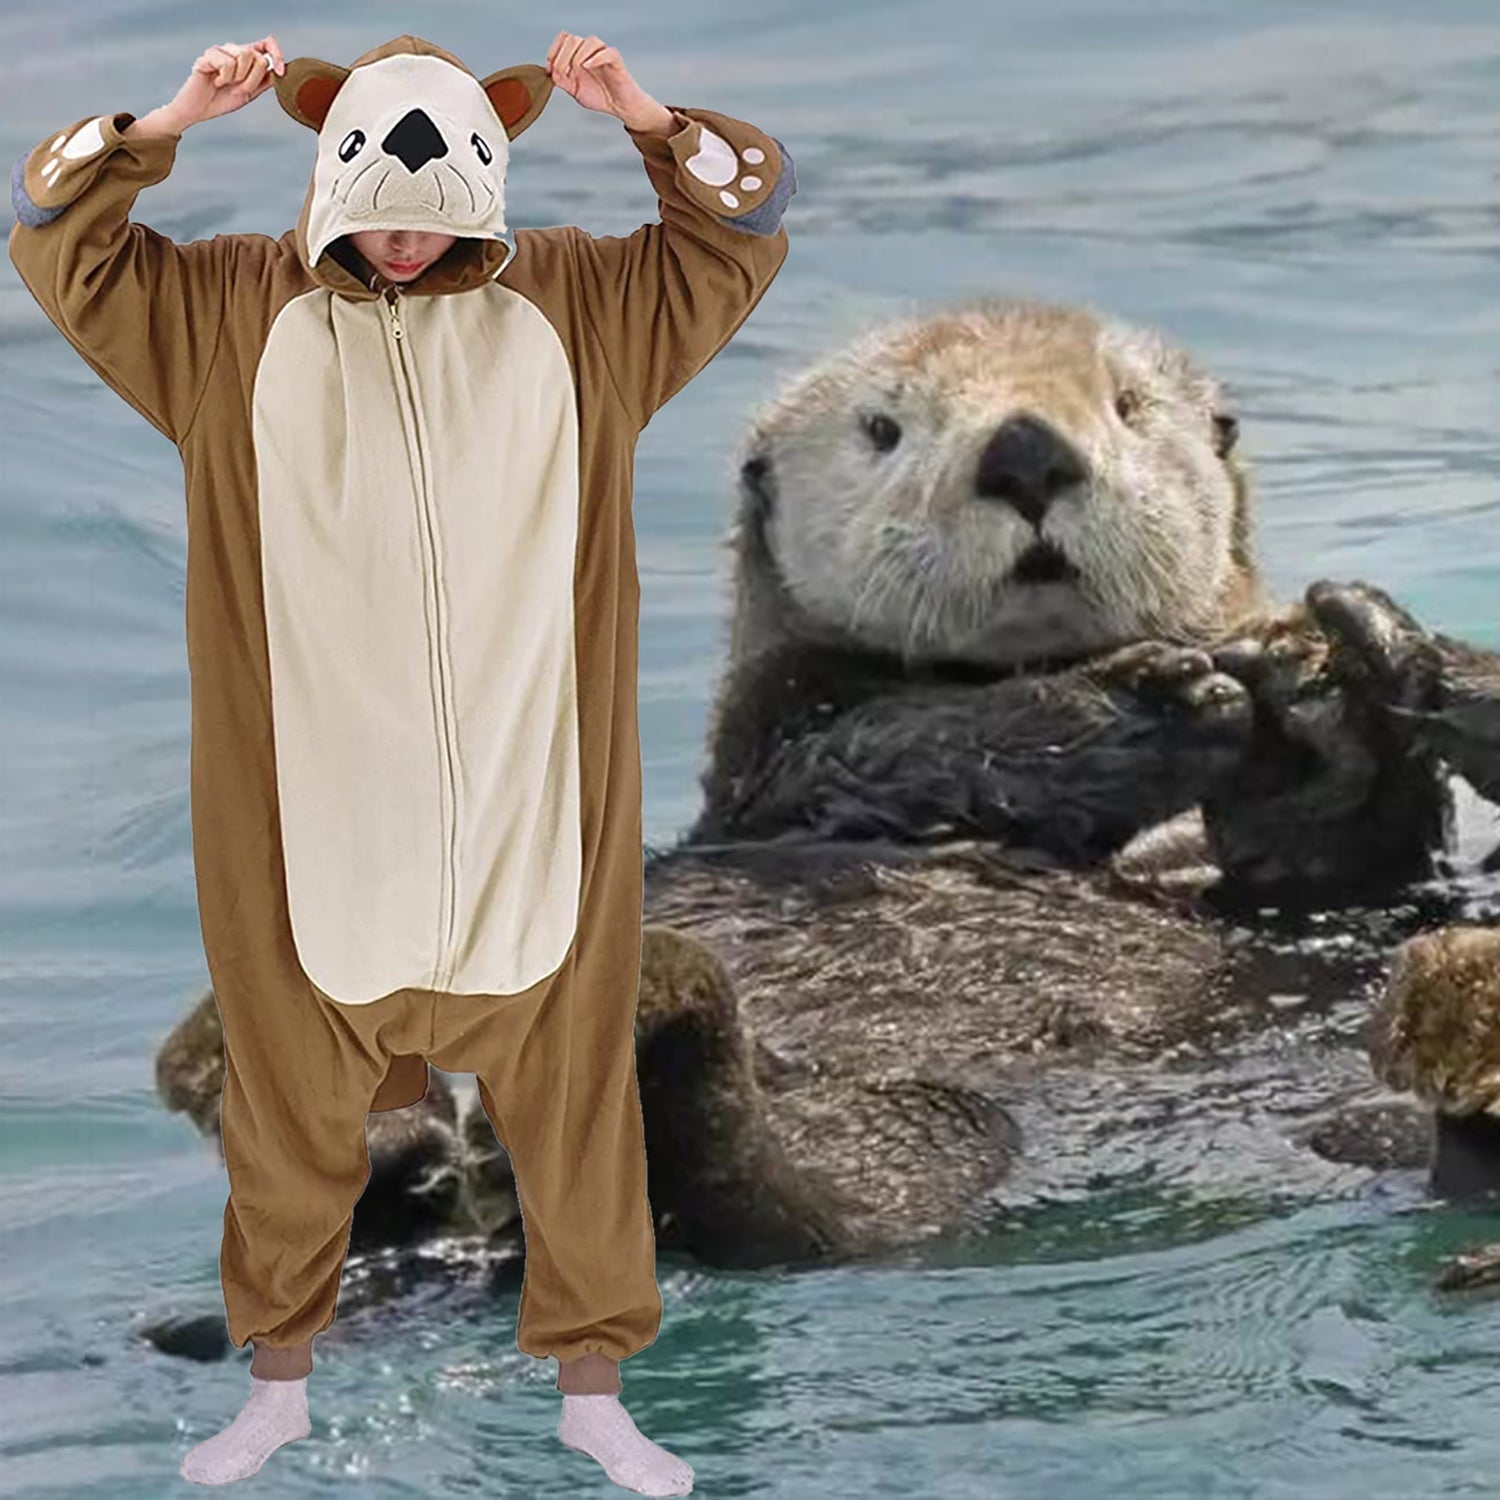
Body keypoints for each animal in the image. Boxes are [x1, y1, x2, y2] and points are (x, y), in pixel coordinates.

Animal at [143, 299, 1498, 1364]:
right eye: (885, 429)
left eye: (1127, 406)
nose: (1026, 450)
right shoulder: (790, 758)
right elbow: (915, 747)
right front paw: (1147, 703)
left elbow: (1325, 859)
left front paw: (1310, 691)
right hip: (916, 1118)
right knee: (780, 1212)